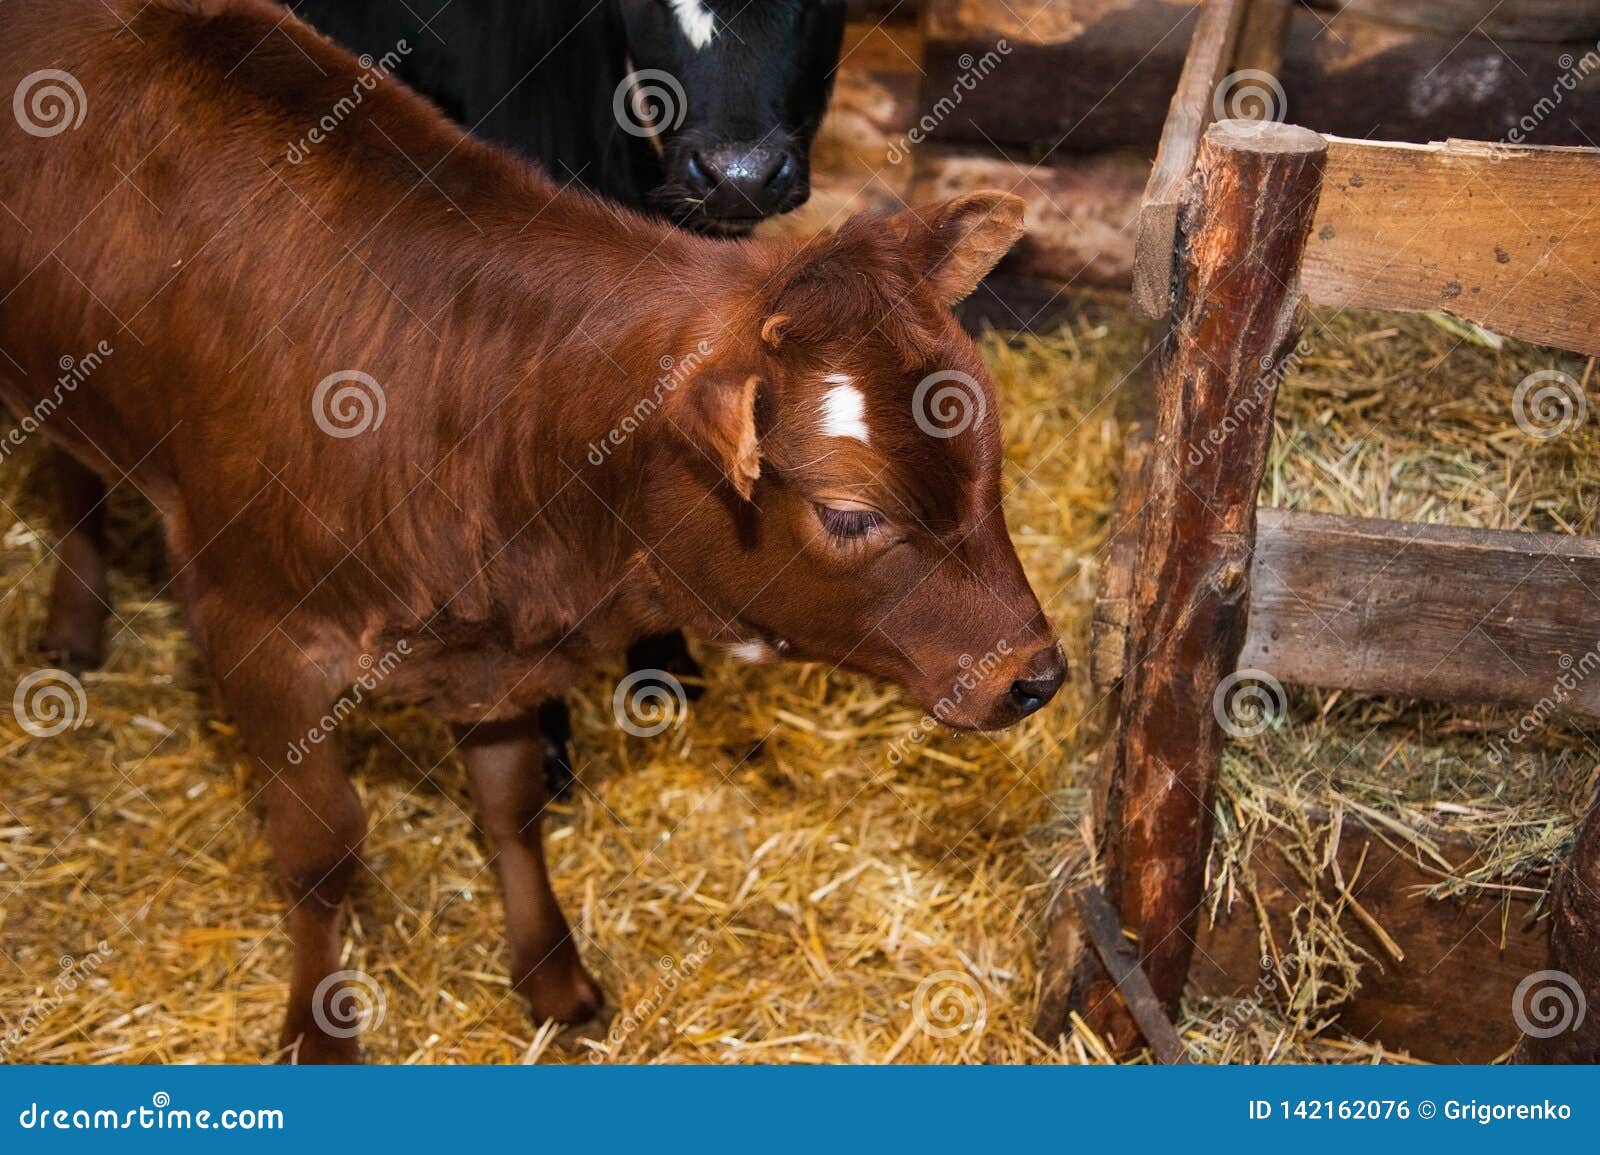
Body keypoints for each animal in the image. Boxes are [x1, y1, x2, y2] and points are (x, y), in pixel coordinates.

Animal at [0, 0, 1065, 1063]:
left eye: (990, 449)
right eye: (850, 513)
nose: (1036, 674)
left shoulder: (491, 643)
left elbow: (512, 805)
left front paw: (553, 976)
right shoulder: (252, 629)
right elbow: (321, 850)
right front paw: (318, 1029)